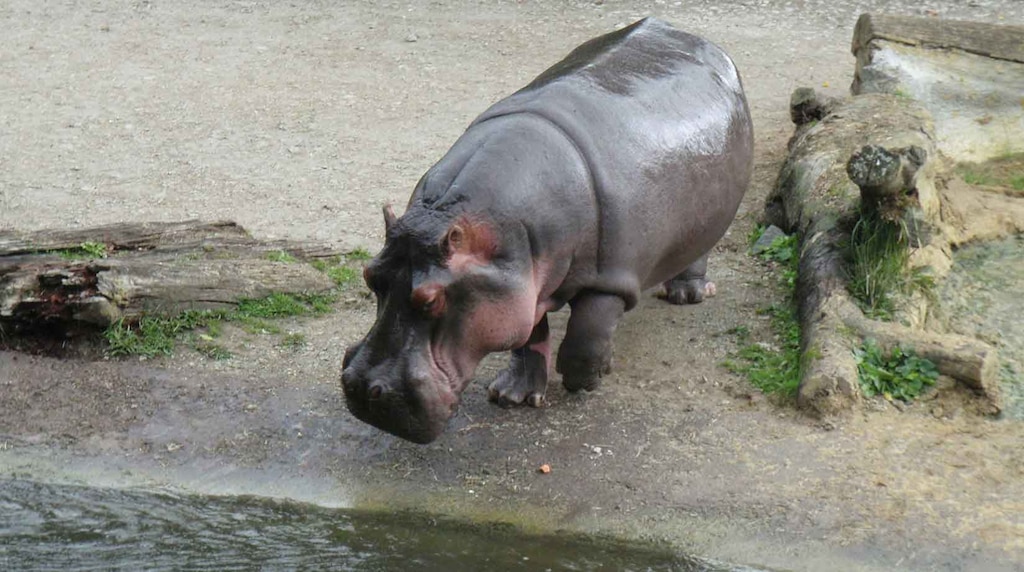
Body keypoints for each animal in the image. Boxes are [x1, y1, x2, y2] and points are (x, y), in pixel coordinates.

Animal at [342, 17, 753, 443]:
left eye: (431, 300)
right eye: (370, 276)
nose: (363, 388)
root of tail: (684, 31)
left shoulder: (610, 278)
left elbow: (586, 334)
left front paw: (586, 379)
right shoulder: (520, 285)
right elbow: (529, 338)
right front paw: (512, 396)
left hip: (711, 217)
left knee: (698, 251)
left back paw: (687, 295)